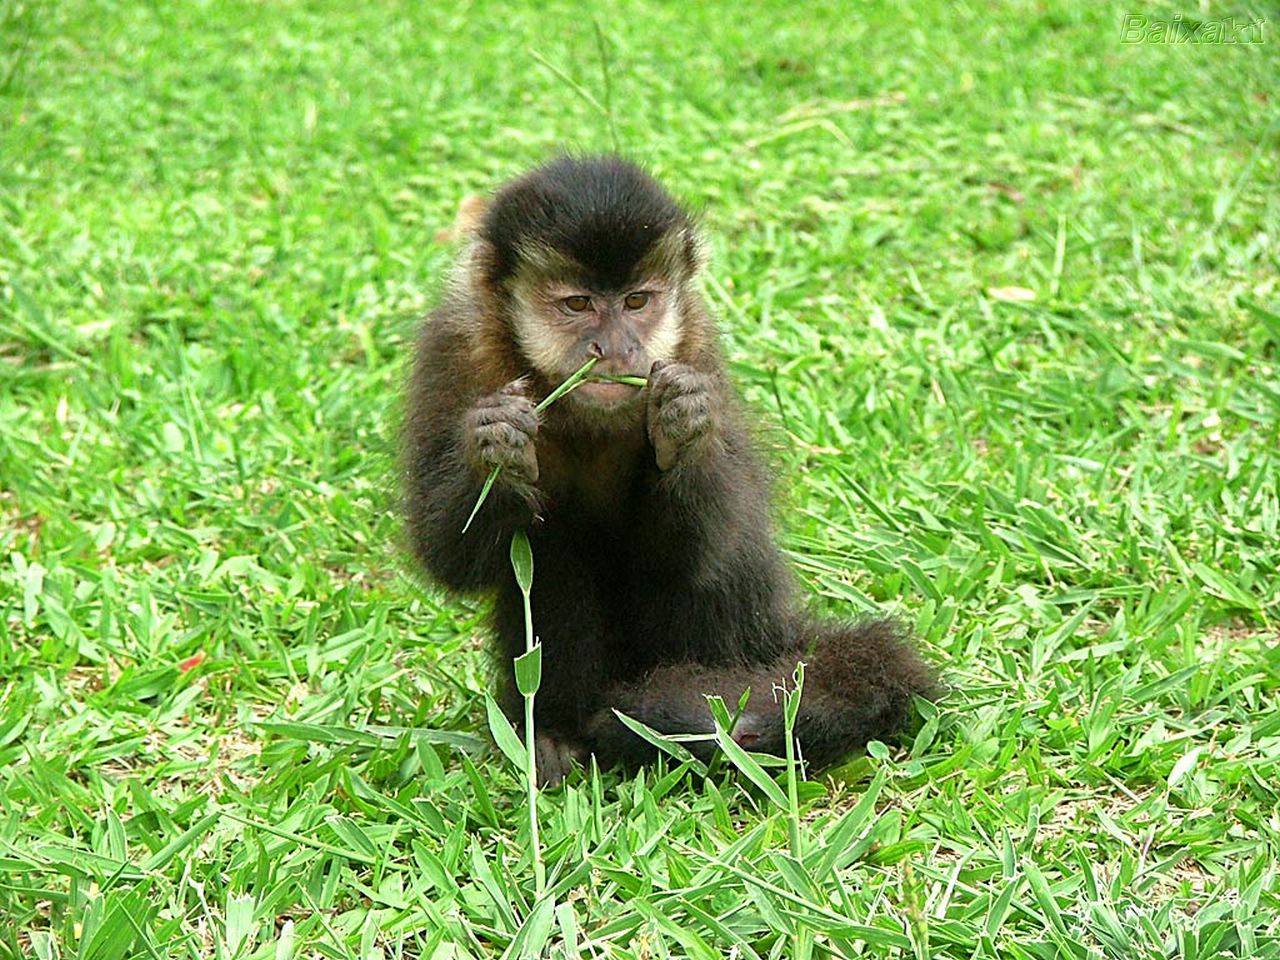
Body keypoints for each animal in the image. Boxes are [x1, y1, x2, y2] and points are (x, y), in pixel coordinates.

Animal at [403, 155, 936, 785]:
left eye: (637, 302)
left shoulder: (695, 345)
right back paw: (554, 732)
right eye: (579, 305)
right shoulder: (457, 345)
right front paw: (496, 445)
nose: (615, 347)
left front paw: (684, 426)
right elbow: (450, 557)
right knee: (553, 551)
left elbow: (707, 547)